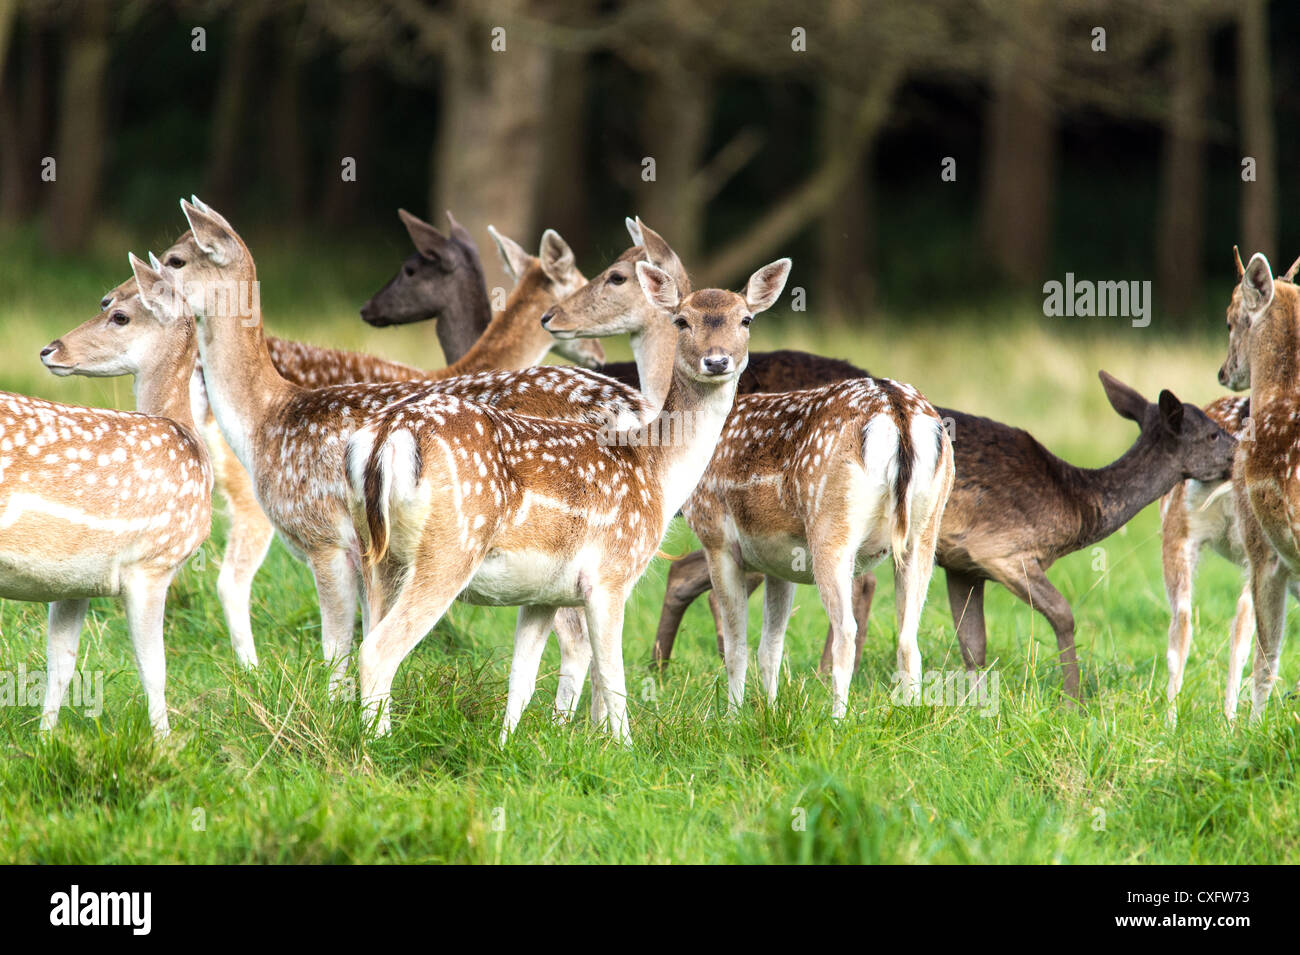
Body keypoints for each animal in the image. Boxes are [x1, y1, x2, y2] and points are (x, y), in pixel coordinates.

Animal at [8, 255, 212, 736]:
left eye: (119, 315)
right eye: (105, 303)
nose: (49, 350)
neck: (191, 441)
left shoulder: (72, 579)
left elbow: (61, 665)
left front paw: (46, 739)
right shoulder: (153, 561)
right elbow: (155, 669)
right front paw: (165, 743)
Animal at [345, 257, 793, 743]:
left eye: (745, 319)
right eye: (682, 320)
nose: (717, 360)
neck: (655, 470)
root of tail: (388, 437)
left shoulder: (543, 594)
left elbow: (521, 680)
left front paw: (507, 745)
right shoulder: (611, 573)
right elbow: (613, 678)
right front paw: (624, 748)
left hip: (376, 554)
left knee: (367, 638)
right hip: (450, 547)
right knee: (378, 651)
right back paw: (378, 744)